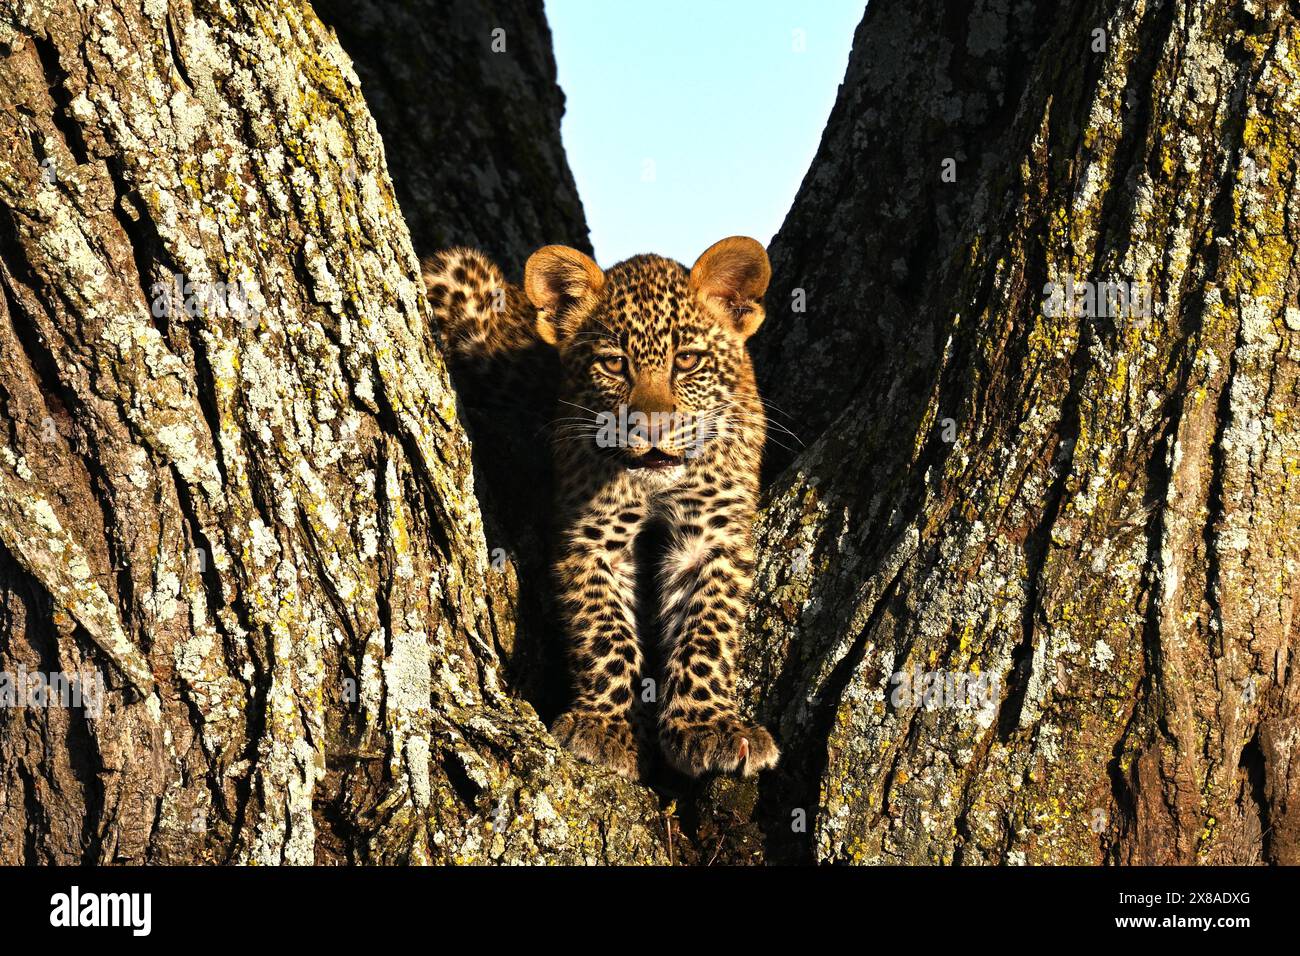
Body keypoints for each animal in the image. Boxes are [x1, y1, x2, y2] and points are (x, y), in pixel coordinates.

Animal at [423, 236, 779, 780]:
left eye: (687, 360)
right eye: (614, 365)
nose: (650, 429)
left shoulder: (711, 539)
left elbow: (707, 631)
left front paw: (710, 726)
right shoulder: (593, 538)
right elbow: (605, 632)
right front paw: (606, 728)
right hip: (455, 272)